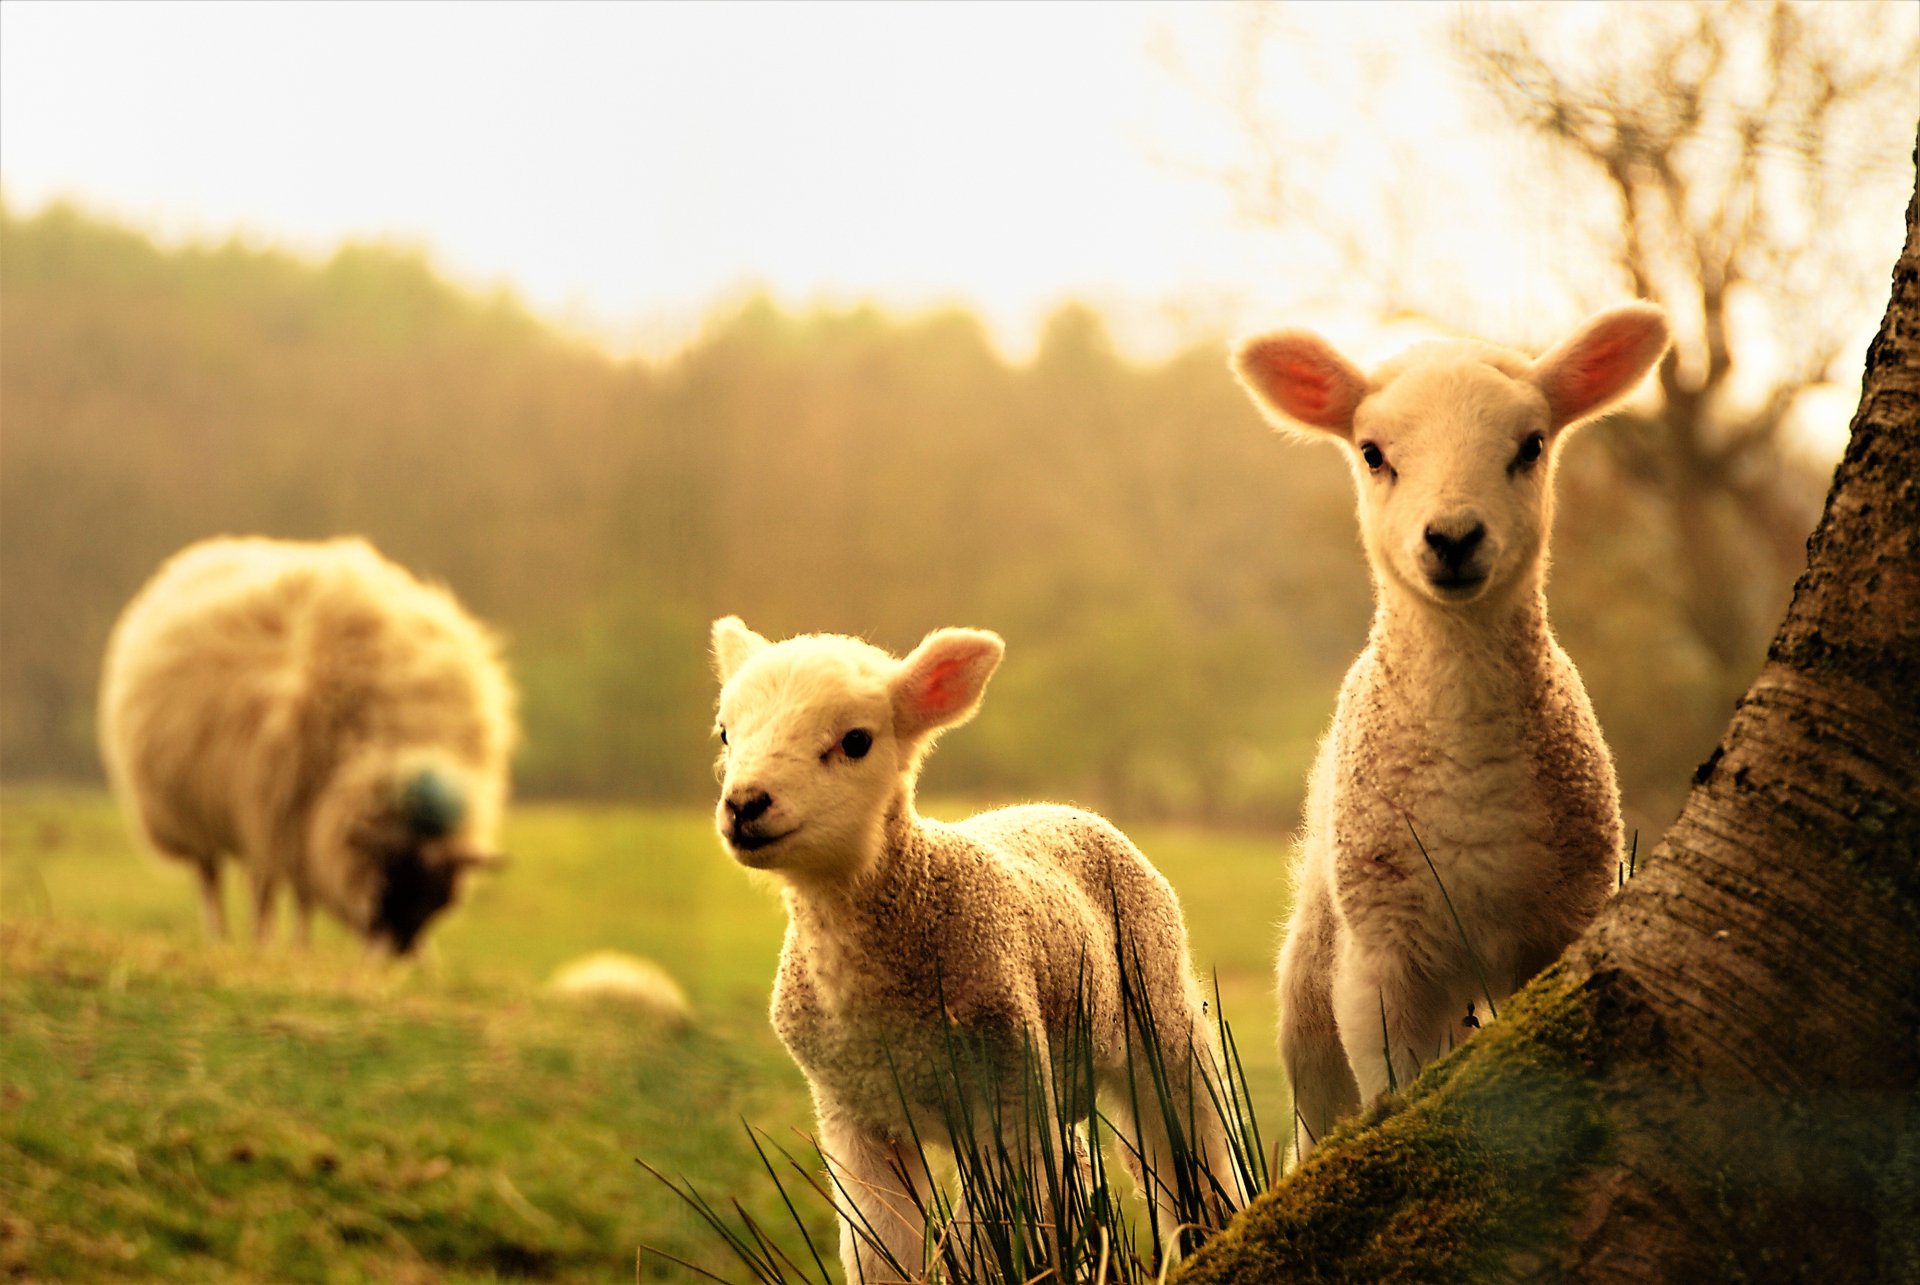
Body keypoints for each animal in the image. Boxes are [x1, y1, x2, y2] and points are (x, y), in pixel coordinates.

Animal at [98, 535, 516, 954]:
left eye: (439, 898)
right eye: (387, 877)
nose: (397, 955)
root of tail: (207, 551)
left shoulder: (301, 824)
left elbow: (302, 893)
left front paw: (302, 949)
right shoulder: (283, 811)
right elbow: (289, 893)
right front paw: (290, 947)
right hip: (191, 815)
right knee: (213, 879)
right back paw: (226, 938)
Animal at [710, 617, 1241, 1283]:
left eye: (856, 740)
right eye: (725, 733)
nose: (744, 805)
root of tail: (1061, 806)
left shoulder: (1007, 1094)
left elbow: (989, 1242)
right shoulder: (855, 1116)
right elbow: (880, 1250)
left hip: (1159, 1009)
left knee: (1191, 1150)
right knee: (1077, 1165)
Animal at [1230, 303, 1672, 1158]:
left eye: (1531, 445)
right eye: (1373, 453)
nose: (1454, 537)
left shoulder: (1559, 925)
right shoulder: (1382, 957)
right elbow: (1388, 1090)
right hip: (1313, 973)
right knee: (1315, 1109)